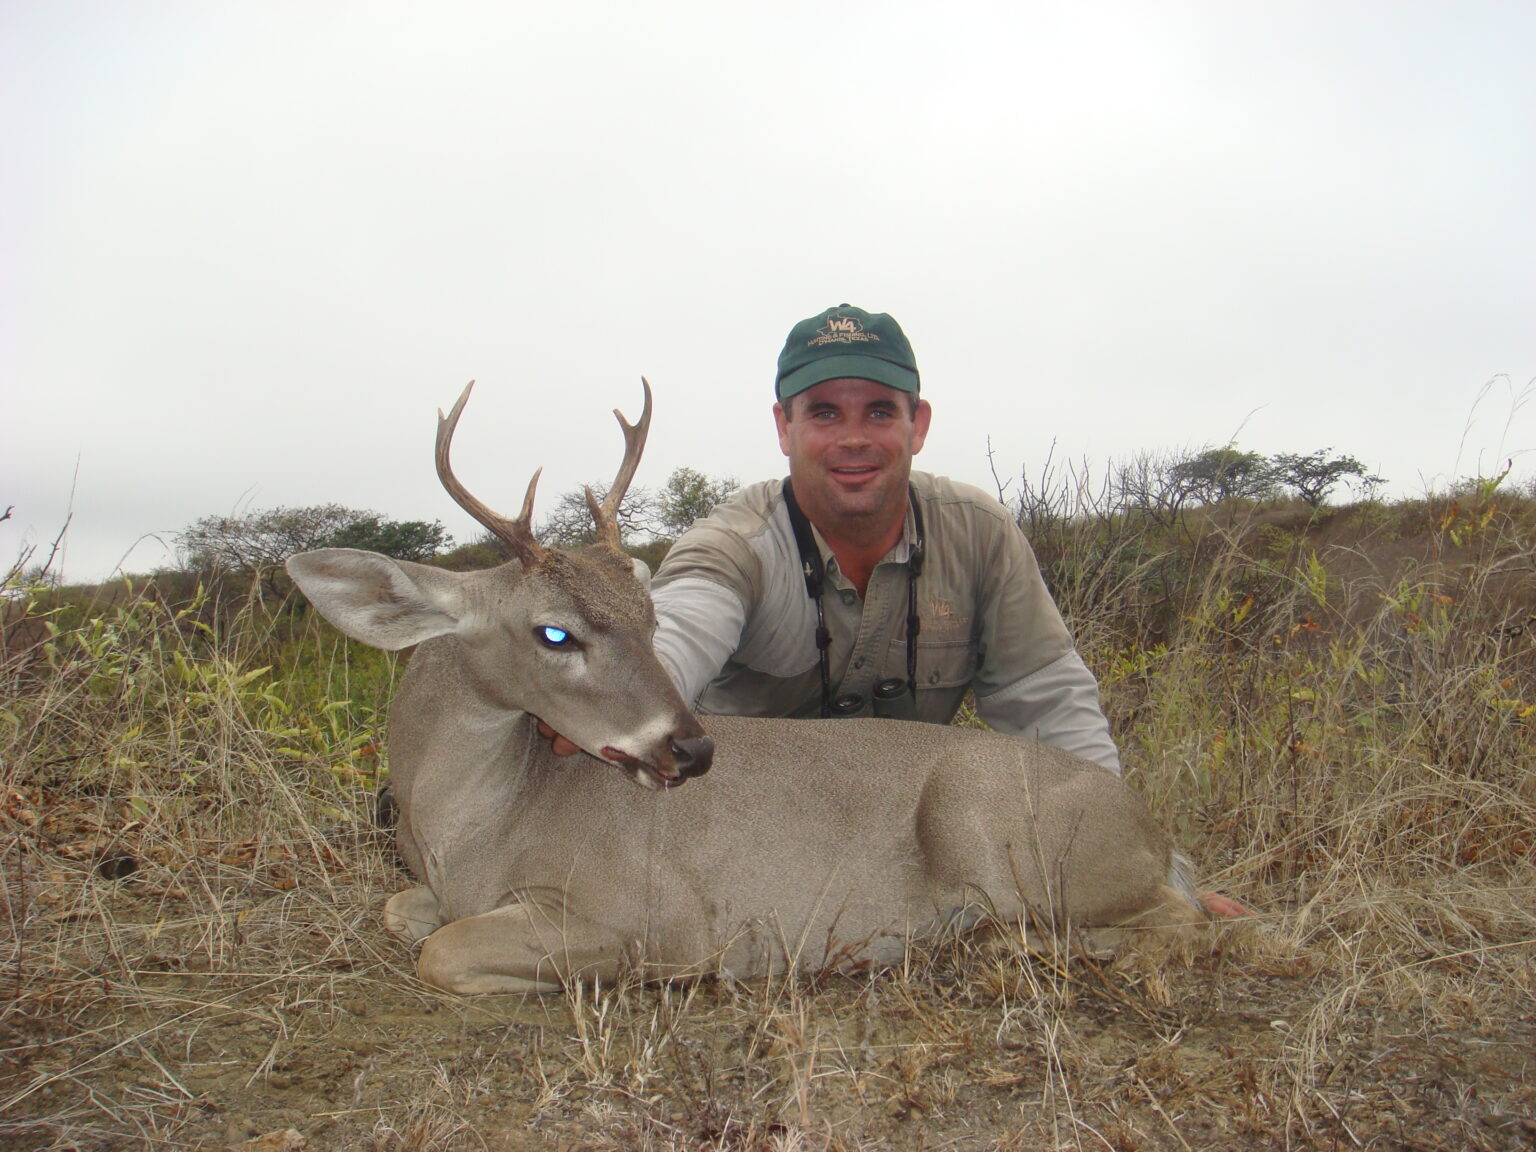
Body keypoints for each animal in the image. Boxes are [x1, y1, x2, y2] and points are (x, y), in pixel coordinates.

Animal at [286, 381, 1207, 995]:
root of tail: (1155, 832)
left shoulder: (661, 915)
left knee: (1174, 922)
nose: (691, 747)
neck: (471, 827)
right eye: (555, 631)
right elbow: (403, 918)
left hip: (991, 823)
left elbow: (440, 954)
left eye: (649, 613)